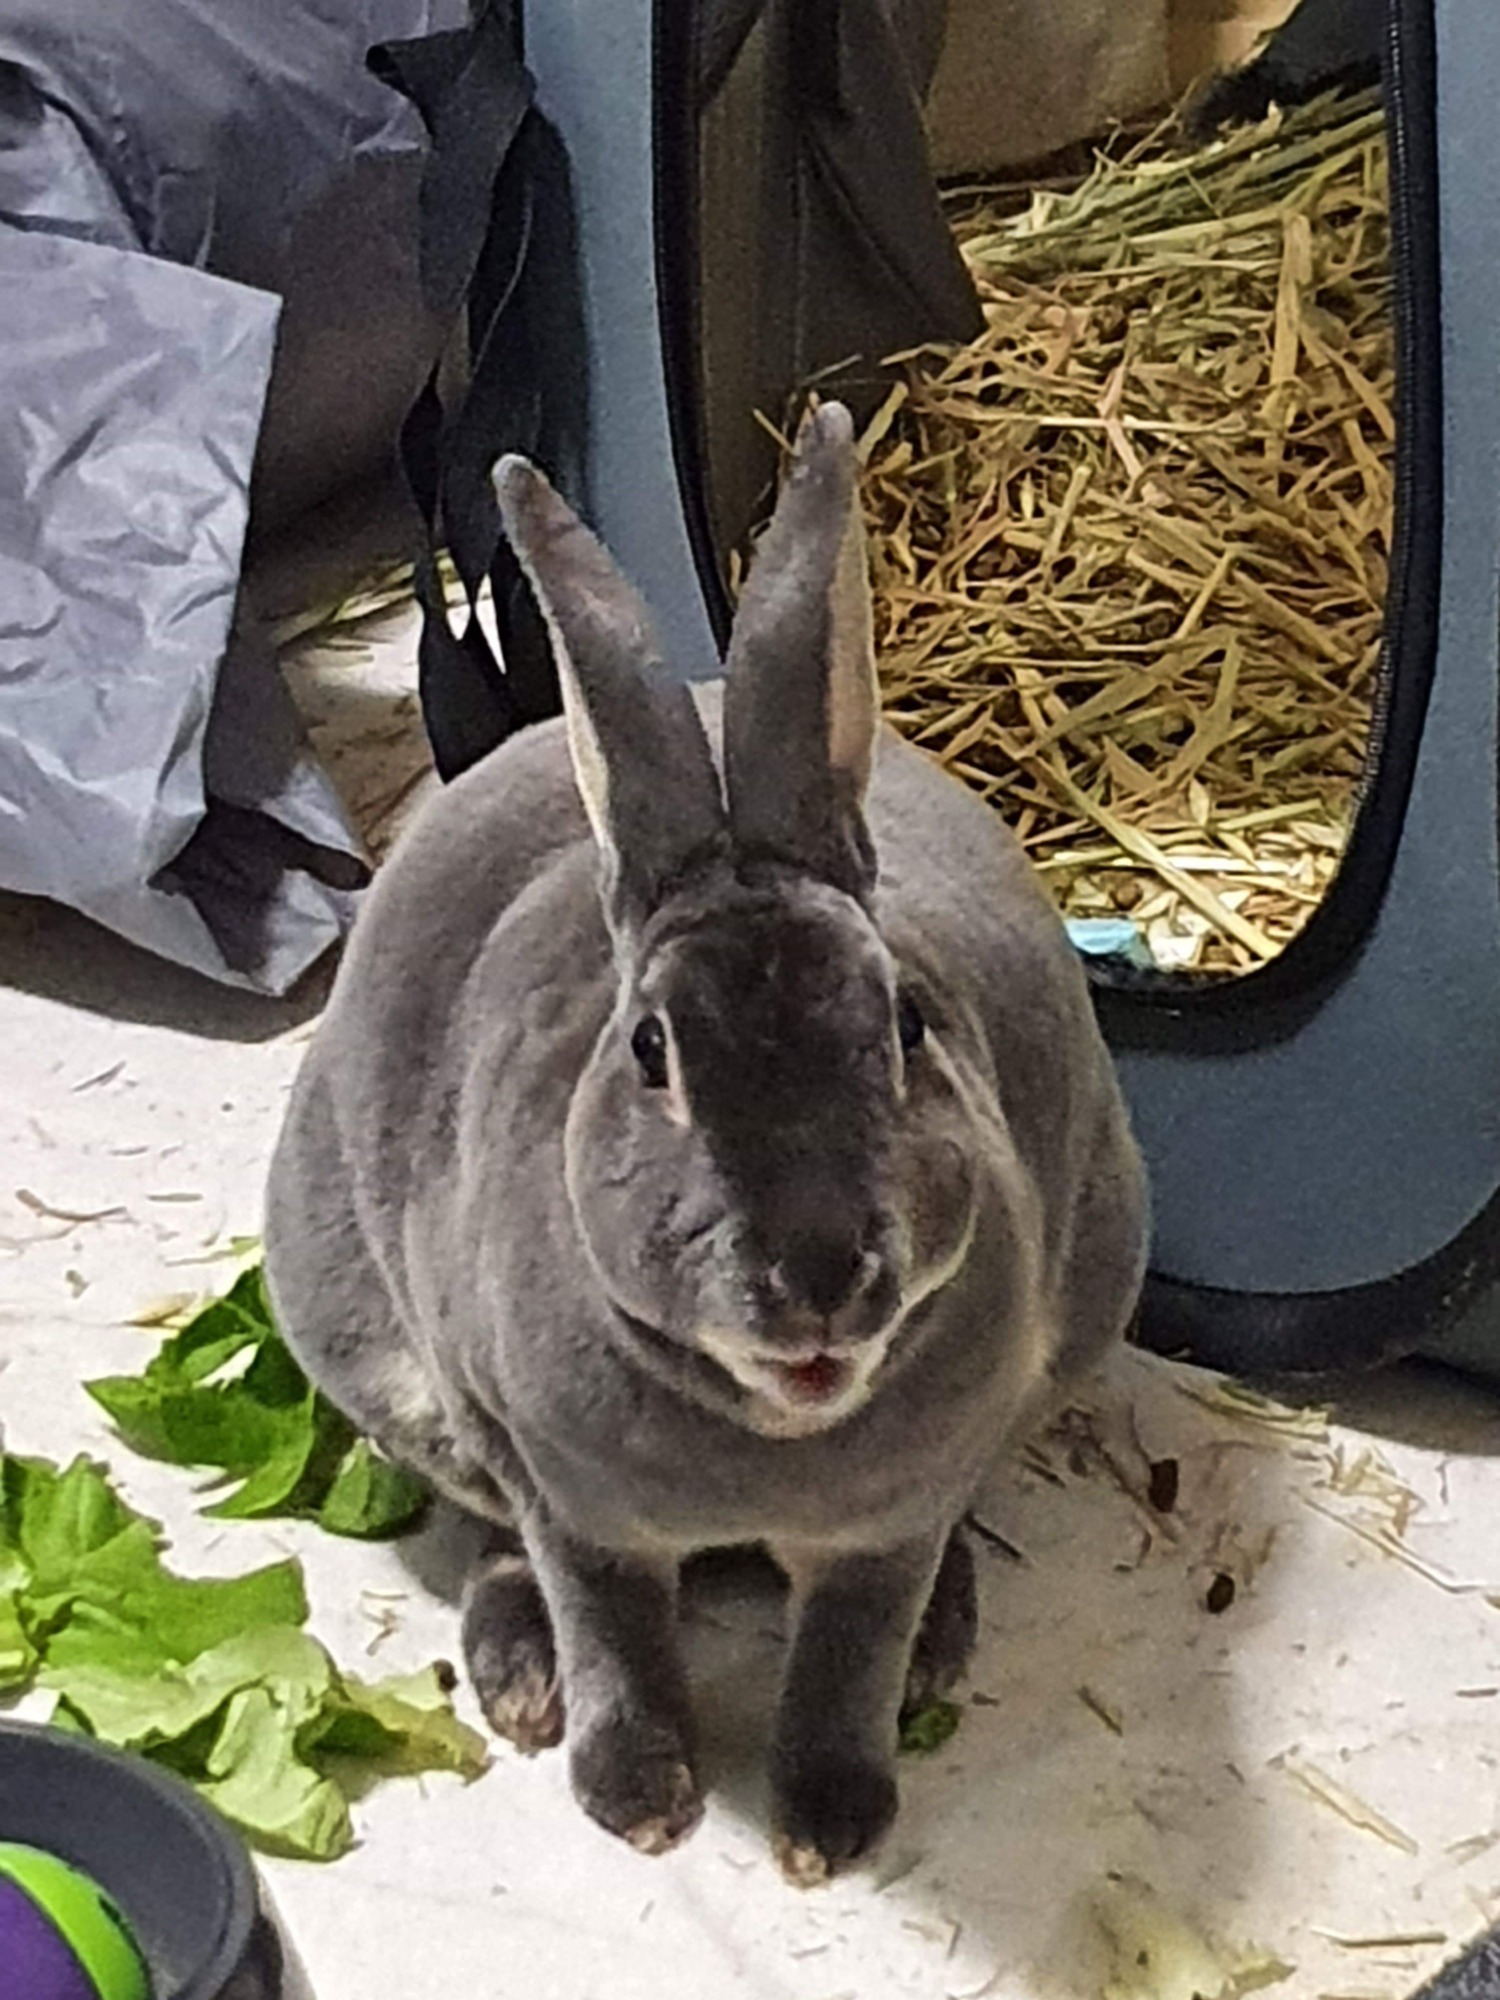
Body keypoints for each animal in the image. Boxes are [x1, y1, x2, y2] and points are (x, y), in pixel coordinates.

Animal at [263, 401, 1148, 1881]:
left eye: (906, 1023)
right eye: (650, 1052)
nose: (821, 1276)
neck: (772, 1434)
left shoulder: (889, 1526)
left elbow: (847, 1654)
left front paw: (827, 1827)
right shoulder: (573, 1507)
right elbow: (617, 1636)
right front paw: (639, 1803)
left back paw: (940, 1648)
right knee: (491, 1542)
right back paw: (523, 1679)